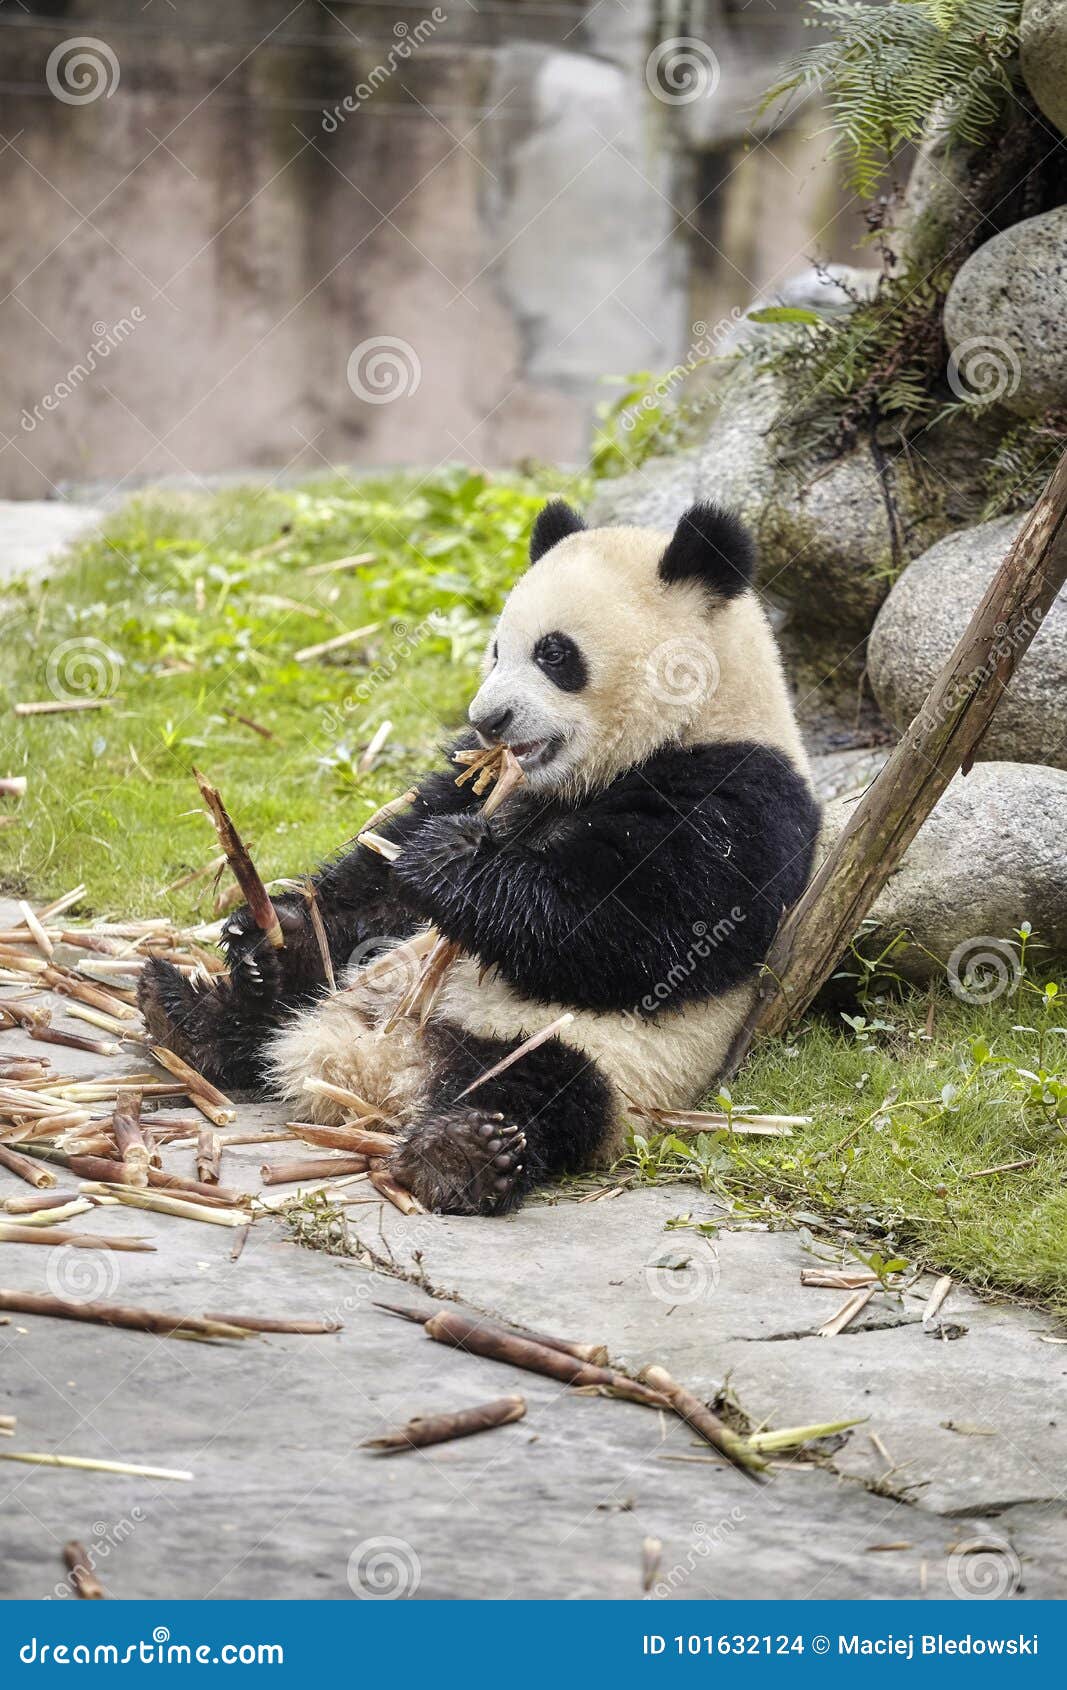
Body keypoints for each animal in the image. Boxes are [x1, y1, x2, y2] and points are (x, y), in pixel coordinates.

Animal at [140, 500, 820, 1215]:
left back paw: (463, 1150)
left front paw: (449, 862)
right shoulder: (480, 781)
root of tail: (376, 1070)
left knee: (545, 1086)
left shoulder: (739, 794)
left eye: (554, 652)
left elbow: (640, 929)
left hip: (606, 1057)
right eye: (497, 649)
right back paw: (197, 1006)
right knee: (289, 998)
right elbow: (382, 884)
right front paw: (278, 926)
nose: (489, 719)